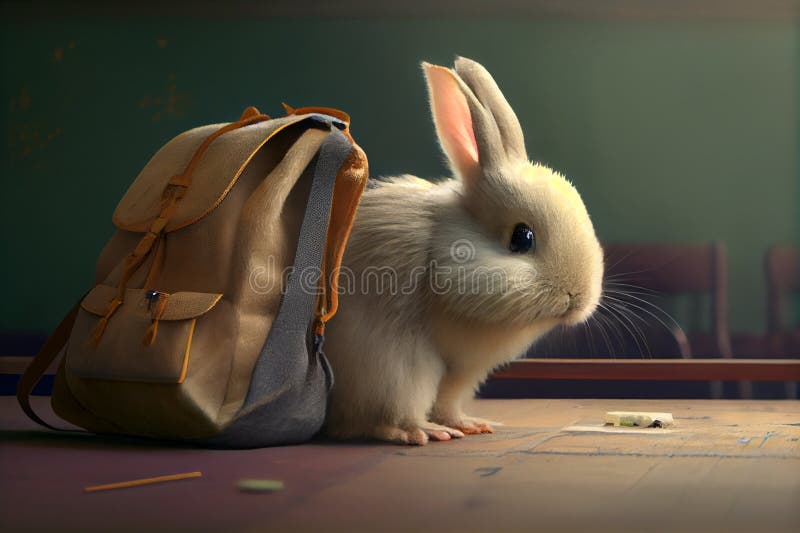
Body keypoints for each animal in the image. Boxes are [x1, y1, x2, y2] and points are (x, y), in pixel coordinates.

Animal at [323, 57, 604, 445]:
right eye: (523, 238)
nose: (576, 297)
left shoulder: (462, 375)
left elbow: (448, 403)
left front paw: (468, 424)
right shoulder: (396, 361)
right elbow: (396, 407)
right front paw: (427, 429)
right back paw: (418, 432)